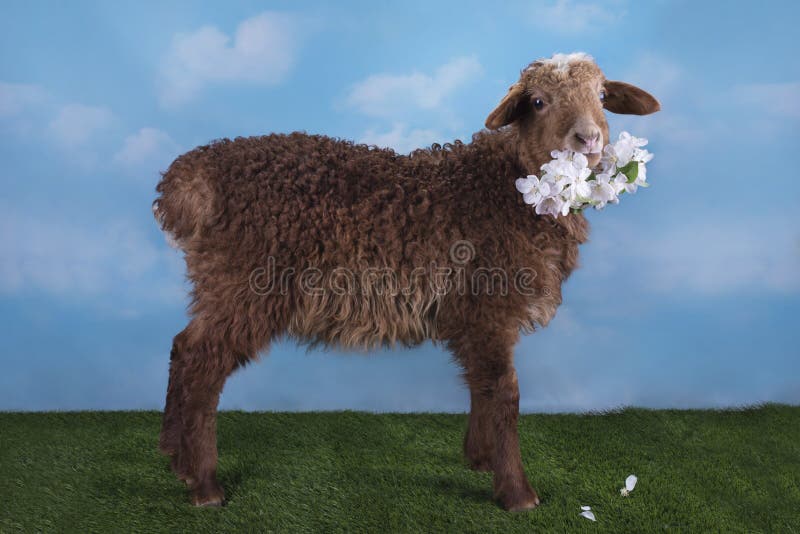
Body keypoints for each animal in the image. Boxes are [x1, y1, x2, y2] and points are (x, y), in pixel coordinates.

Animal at [154, 52, 660, 511]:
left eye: (601, 97)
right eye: (537, 101)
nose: (588, 139)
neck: (506, 190)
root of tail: (186, 182)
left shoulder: (472, 314)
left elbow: (481, 386)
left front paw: (479, 459)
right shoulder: (487, 305)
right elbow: (504, 391)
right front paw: (516, 492)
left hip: (220, 285)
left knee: (181, 346)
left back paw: (174, 457)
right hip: (245, 285)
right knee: (202, 363)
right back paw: (204, 485)